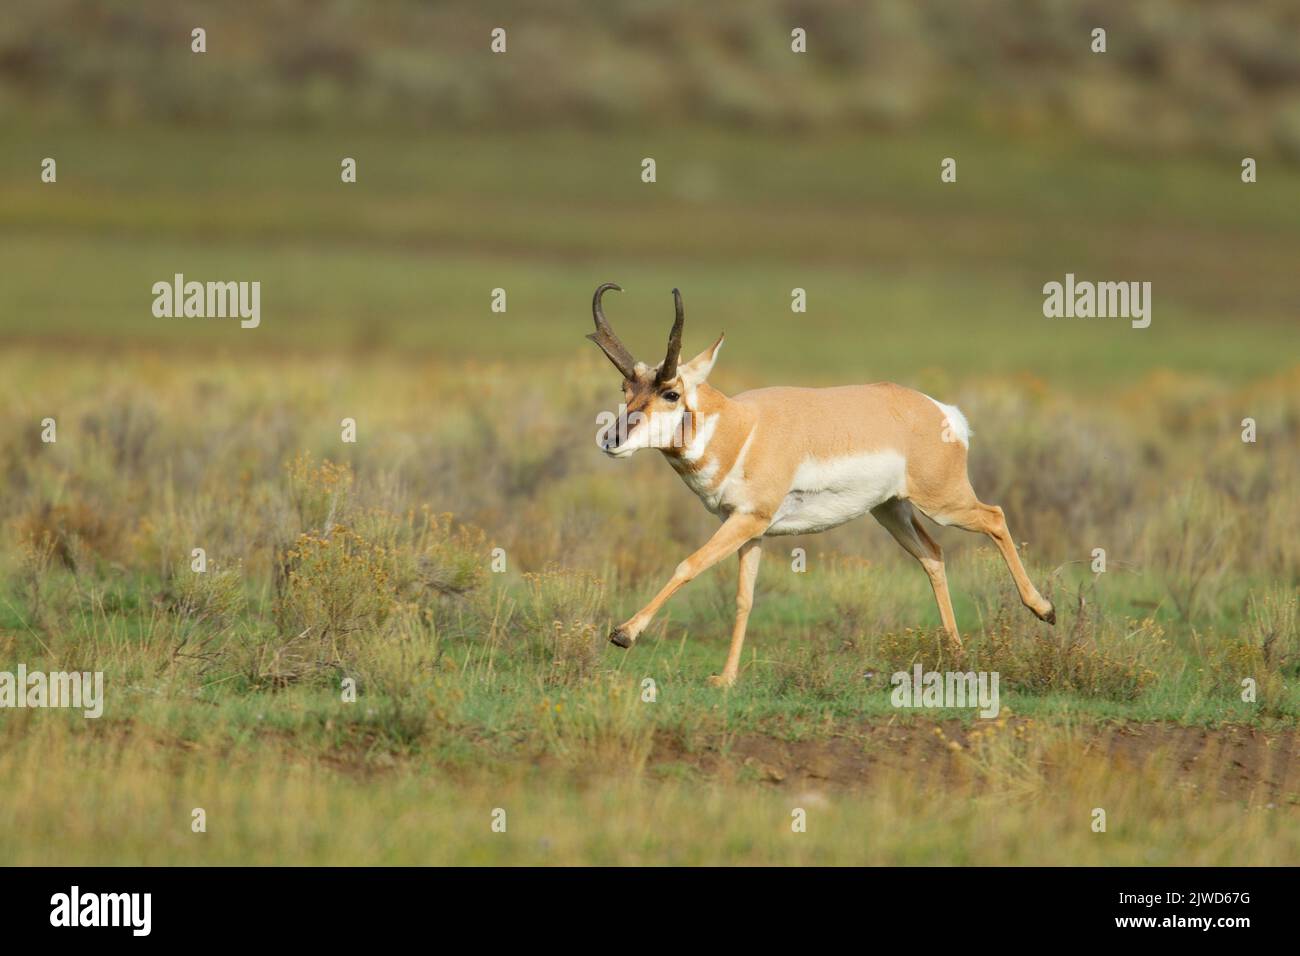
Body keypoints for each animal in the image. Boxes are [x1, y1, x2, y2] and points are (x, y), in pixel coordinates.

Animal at [588, 283, 1055, 687]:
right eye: (626, 387)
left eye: (670, 393)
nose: (611, 440)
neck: (741, 427)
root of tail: (940, 411)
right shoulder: (749, 529)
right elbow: (744, 598)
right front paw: (726, 678)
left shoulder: (746, 521)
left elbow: (688, 564)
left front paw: (623, 634)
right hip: (891, 511)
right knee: (934, 555)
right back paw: (957, 653)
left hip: (945, 502)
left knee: (994, 516)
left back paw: (1045, 610)